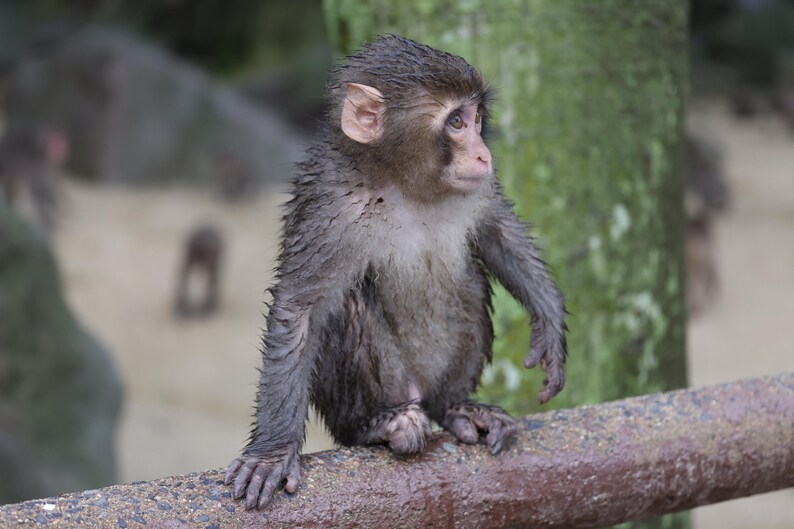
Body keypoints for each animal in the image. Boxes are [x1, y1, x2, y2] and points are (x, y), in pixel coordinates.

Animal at [224, 36, 568, 510]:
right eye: (456, 122)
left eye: (477, 118)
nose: (484, 154)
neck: (405, 184)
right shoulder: (331, 209)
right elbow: (300, 309)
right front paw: (272, 451)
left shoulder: (477, 191)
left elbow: (499, 232)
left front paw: (549, 325)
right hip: (387, 391)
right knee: (347, 304)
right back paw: (380, 424)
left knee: (470, 280)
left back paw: (455, 408)